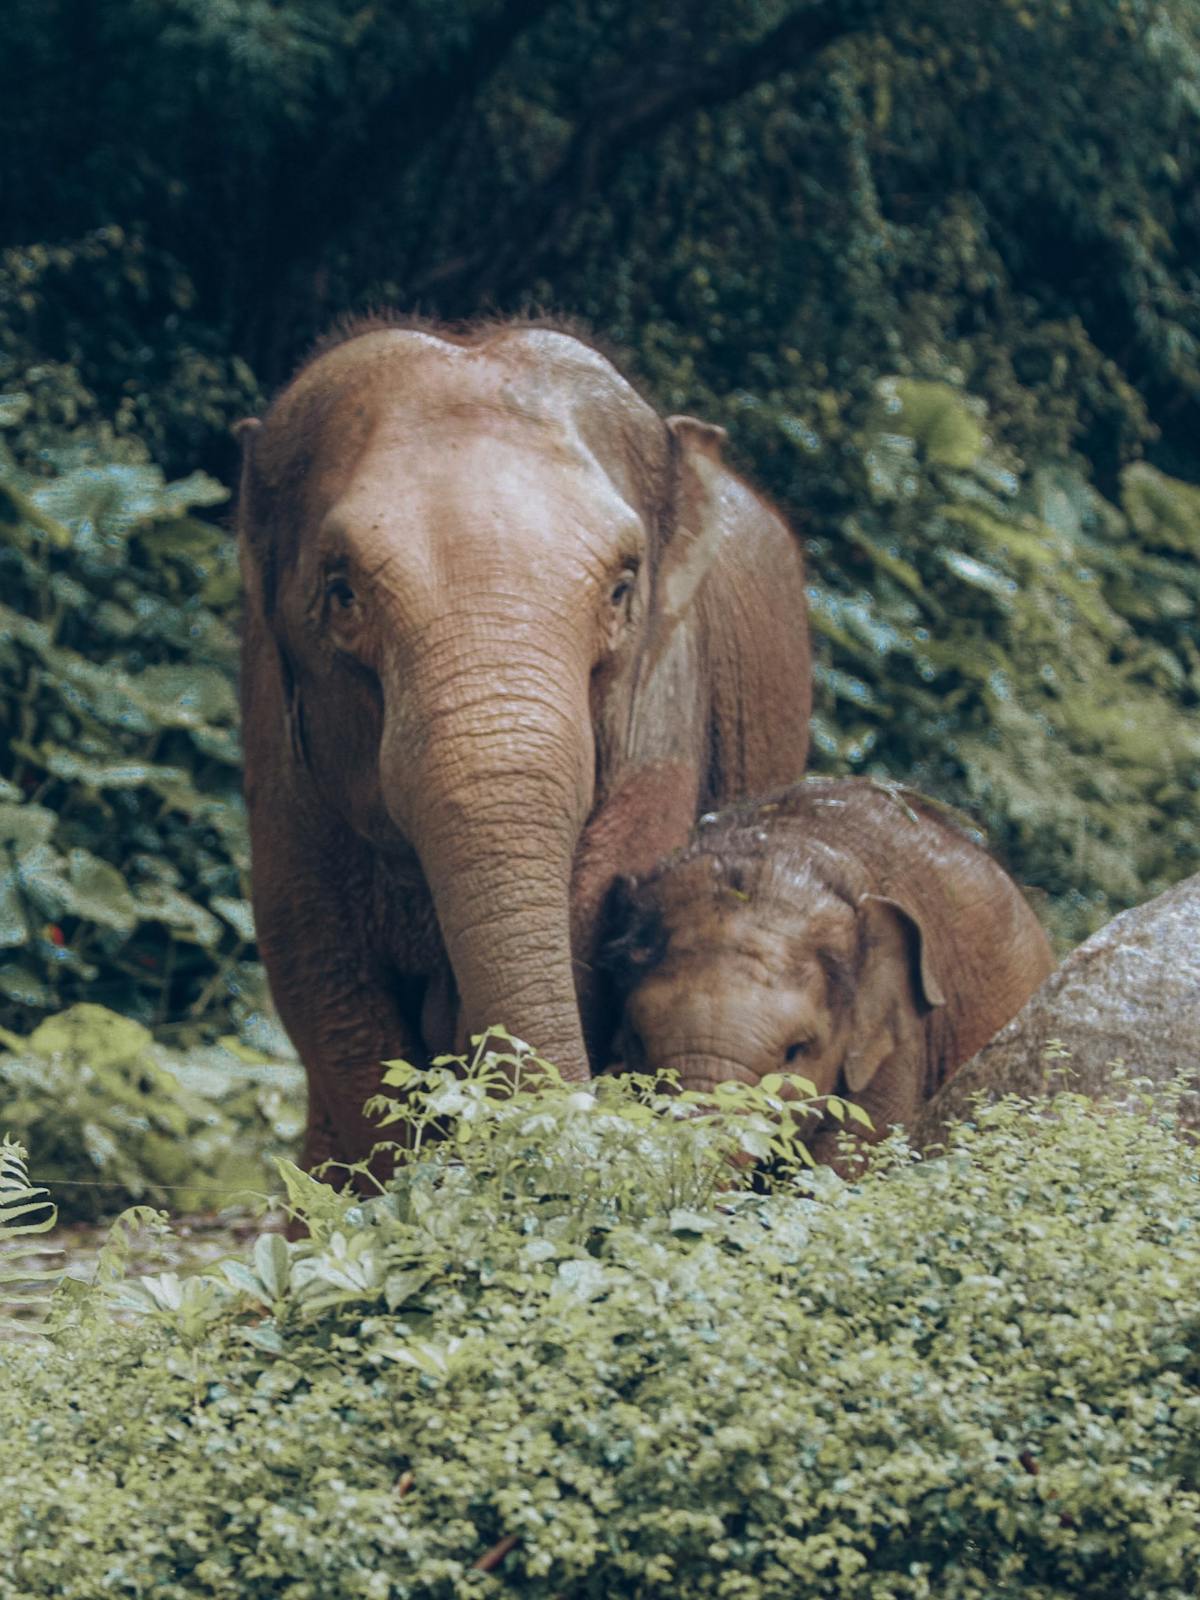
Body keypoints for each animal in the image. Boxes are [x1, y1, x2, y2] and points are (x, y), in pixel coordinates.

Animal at [236, 315, 812, 1174]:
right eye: (341, 593)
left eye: (623, 589)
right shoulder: (276, 738)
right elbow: (319, 971)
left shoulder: (664, 704)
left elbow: (587, 920)